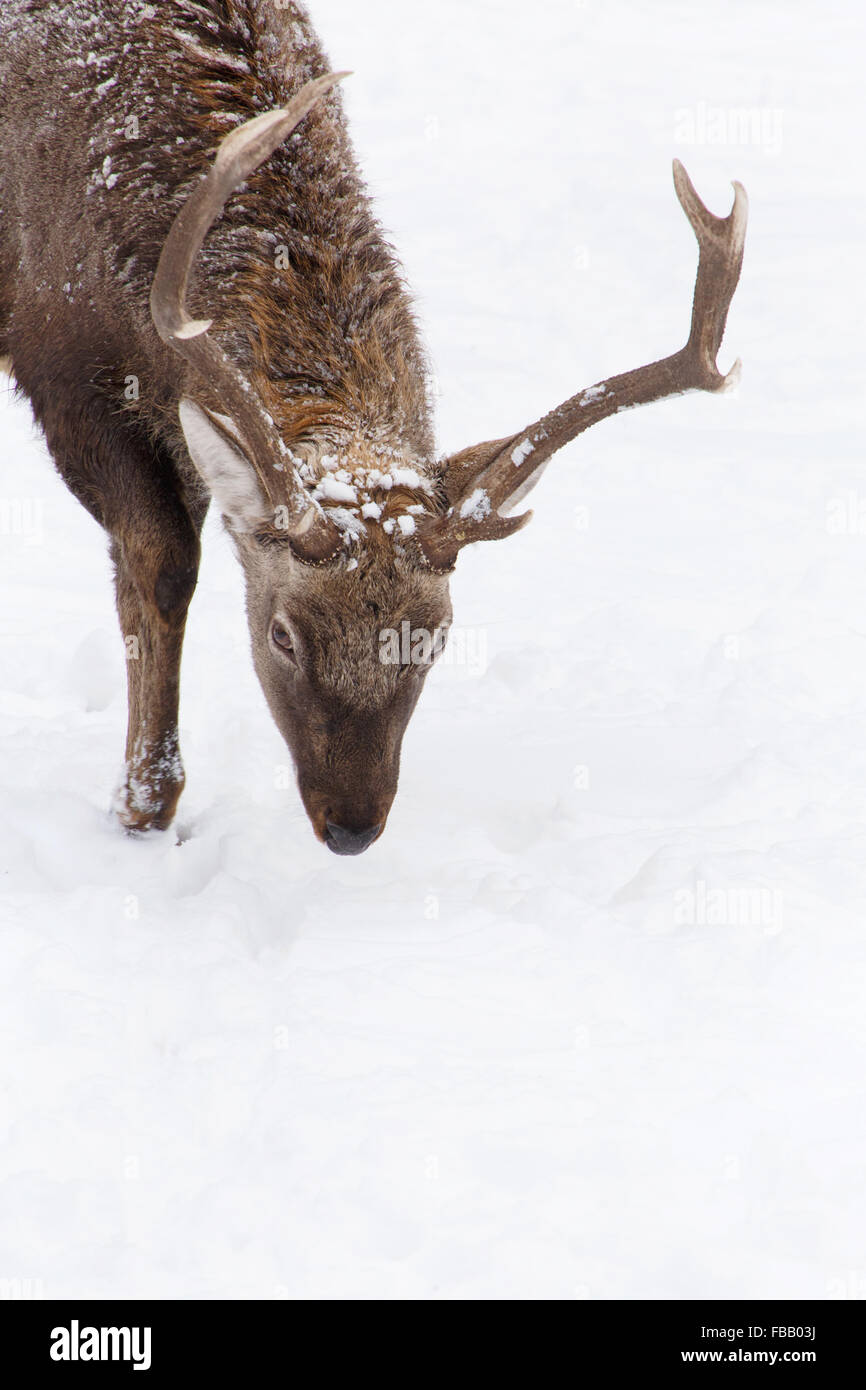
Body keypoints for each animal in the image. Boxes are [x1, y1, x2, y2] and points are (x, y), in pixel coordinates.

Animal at [0, 1, 747, 855]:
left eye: (438, 637)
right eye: (282, 634)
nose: (353, 826)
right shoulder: (59, 367)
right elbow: (160, 565)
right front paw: (141, 810)